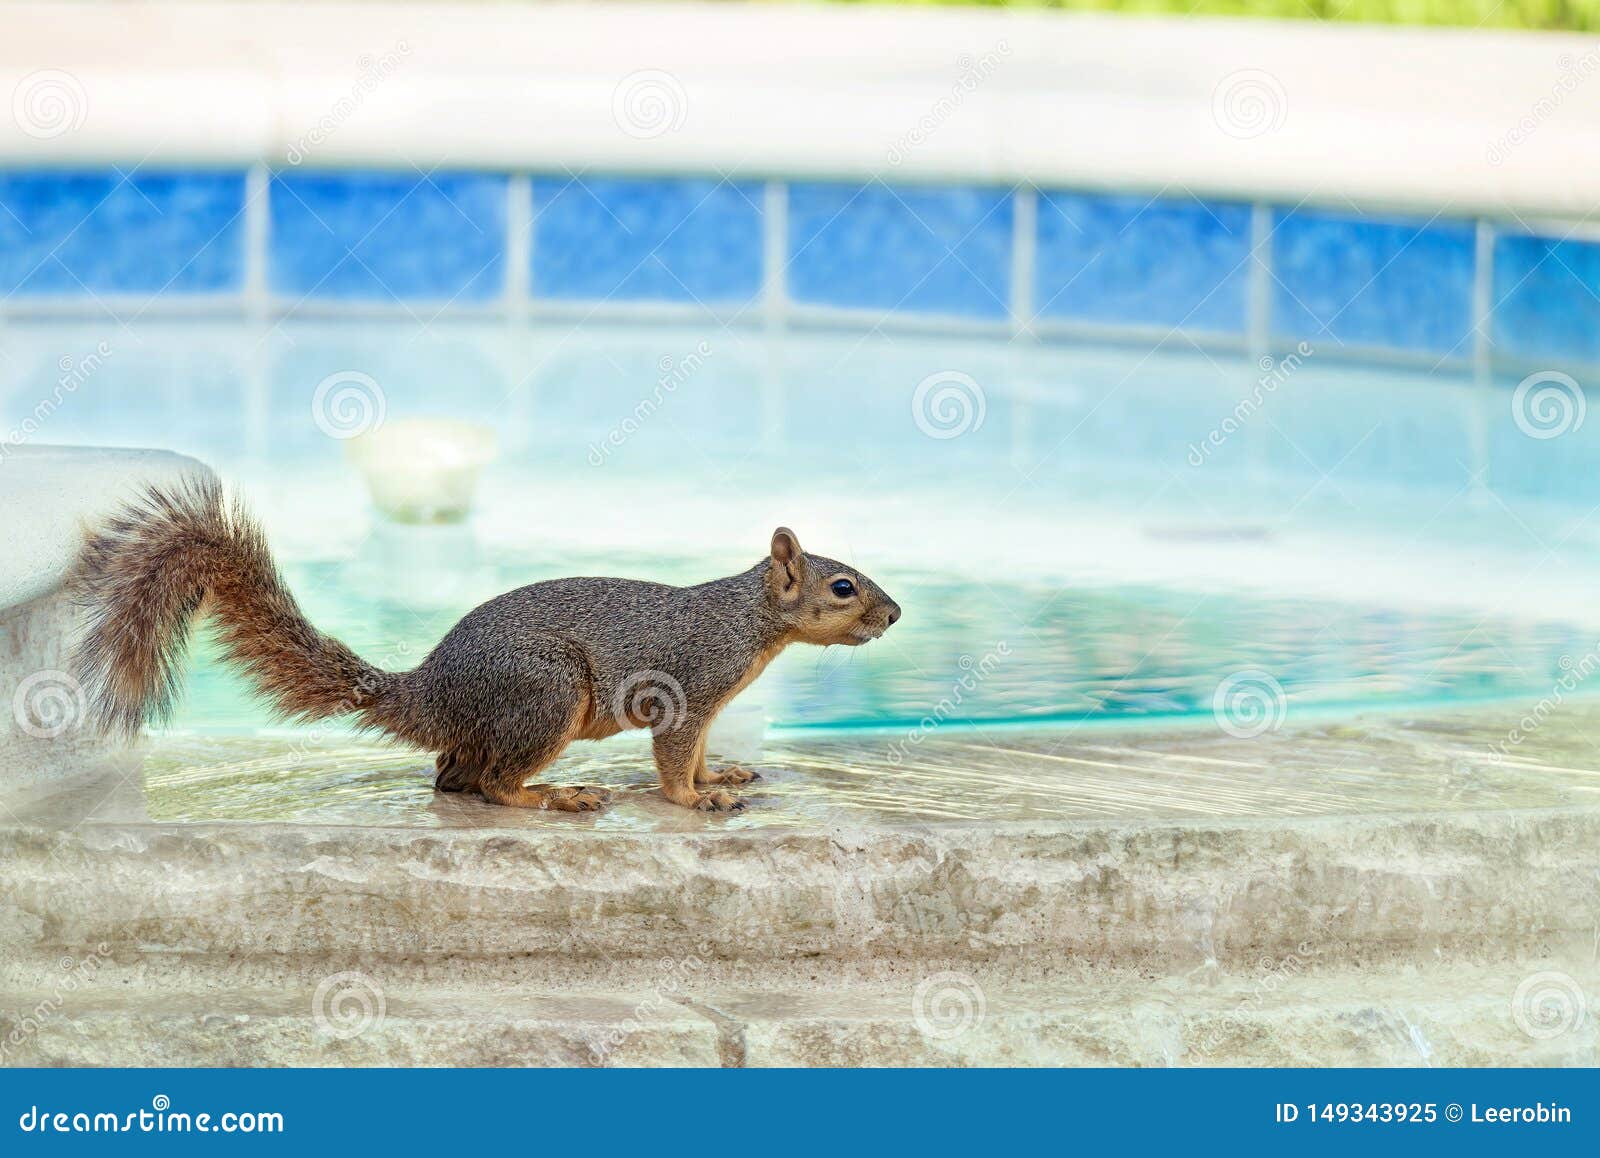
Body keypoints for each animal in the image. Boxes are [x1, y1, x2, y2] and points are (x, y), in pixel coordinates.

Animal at [70, 477, 901, 813]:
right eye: (842, 588)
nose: (894, 615)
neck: (747, 621)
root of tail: (429, 690)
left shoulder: (705, 707)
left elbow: (695, 753)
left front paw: (721, 772)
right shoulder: (688, 690)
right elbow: (672, 764)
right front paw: (699, 799)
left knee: (452, 779)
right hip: (546, 693)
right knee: (493, 785)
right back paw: (553, 796)